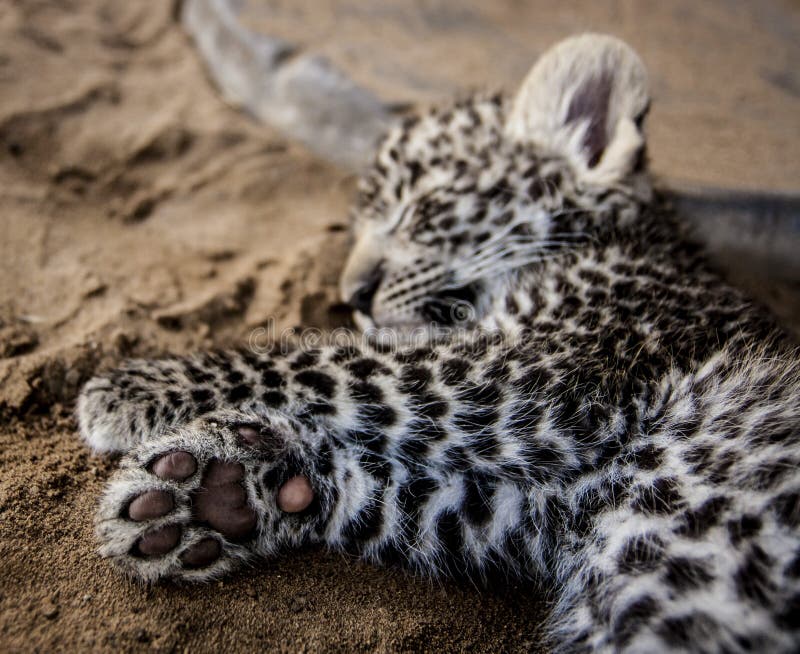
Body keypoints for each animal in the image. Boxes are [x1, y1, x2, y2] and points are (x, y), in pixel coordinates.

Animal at [77, 34, 800, 653]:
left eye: (419, 207)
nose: (354, 293)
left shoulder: (556, 366)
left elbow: (339, 363)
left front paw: (135, 390)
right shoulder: (521, 510)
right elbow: (397, 491)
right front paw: (217, 492)